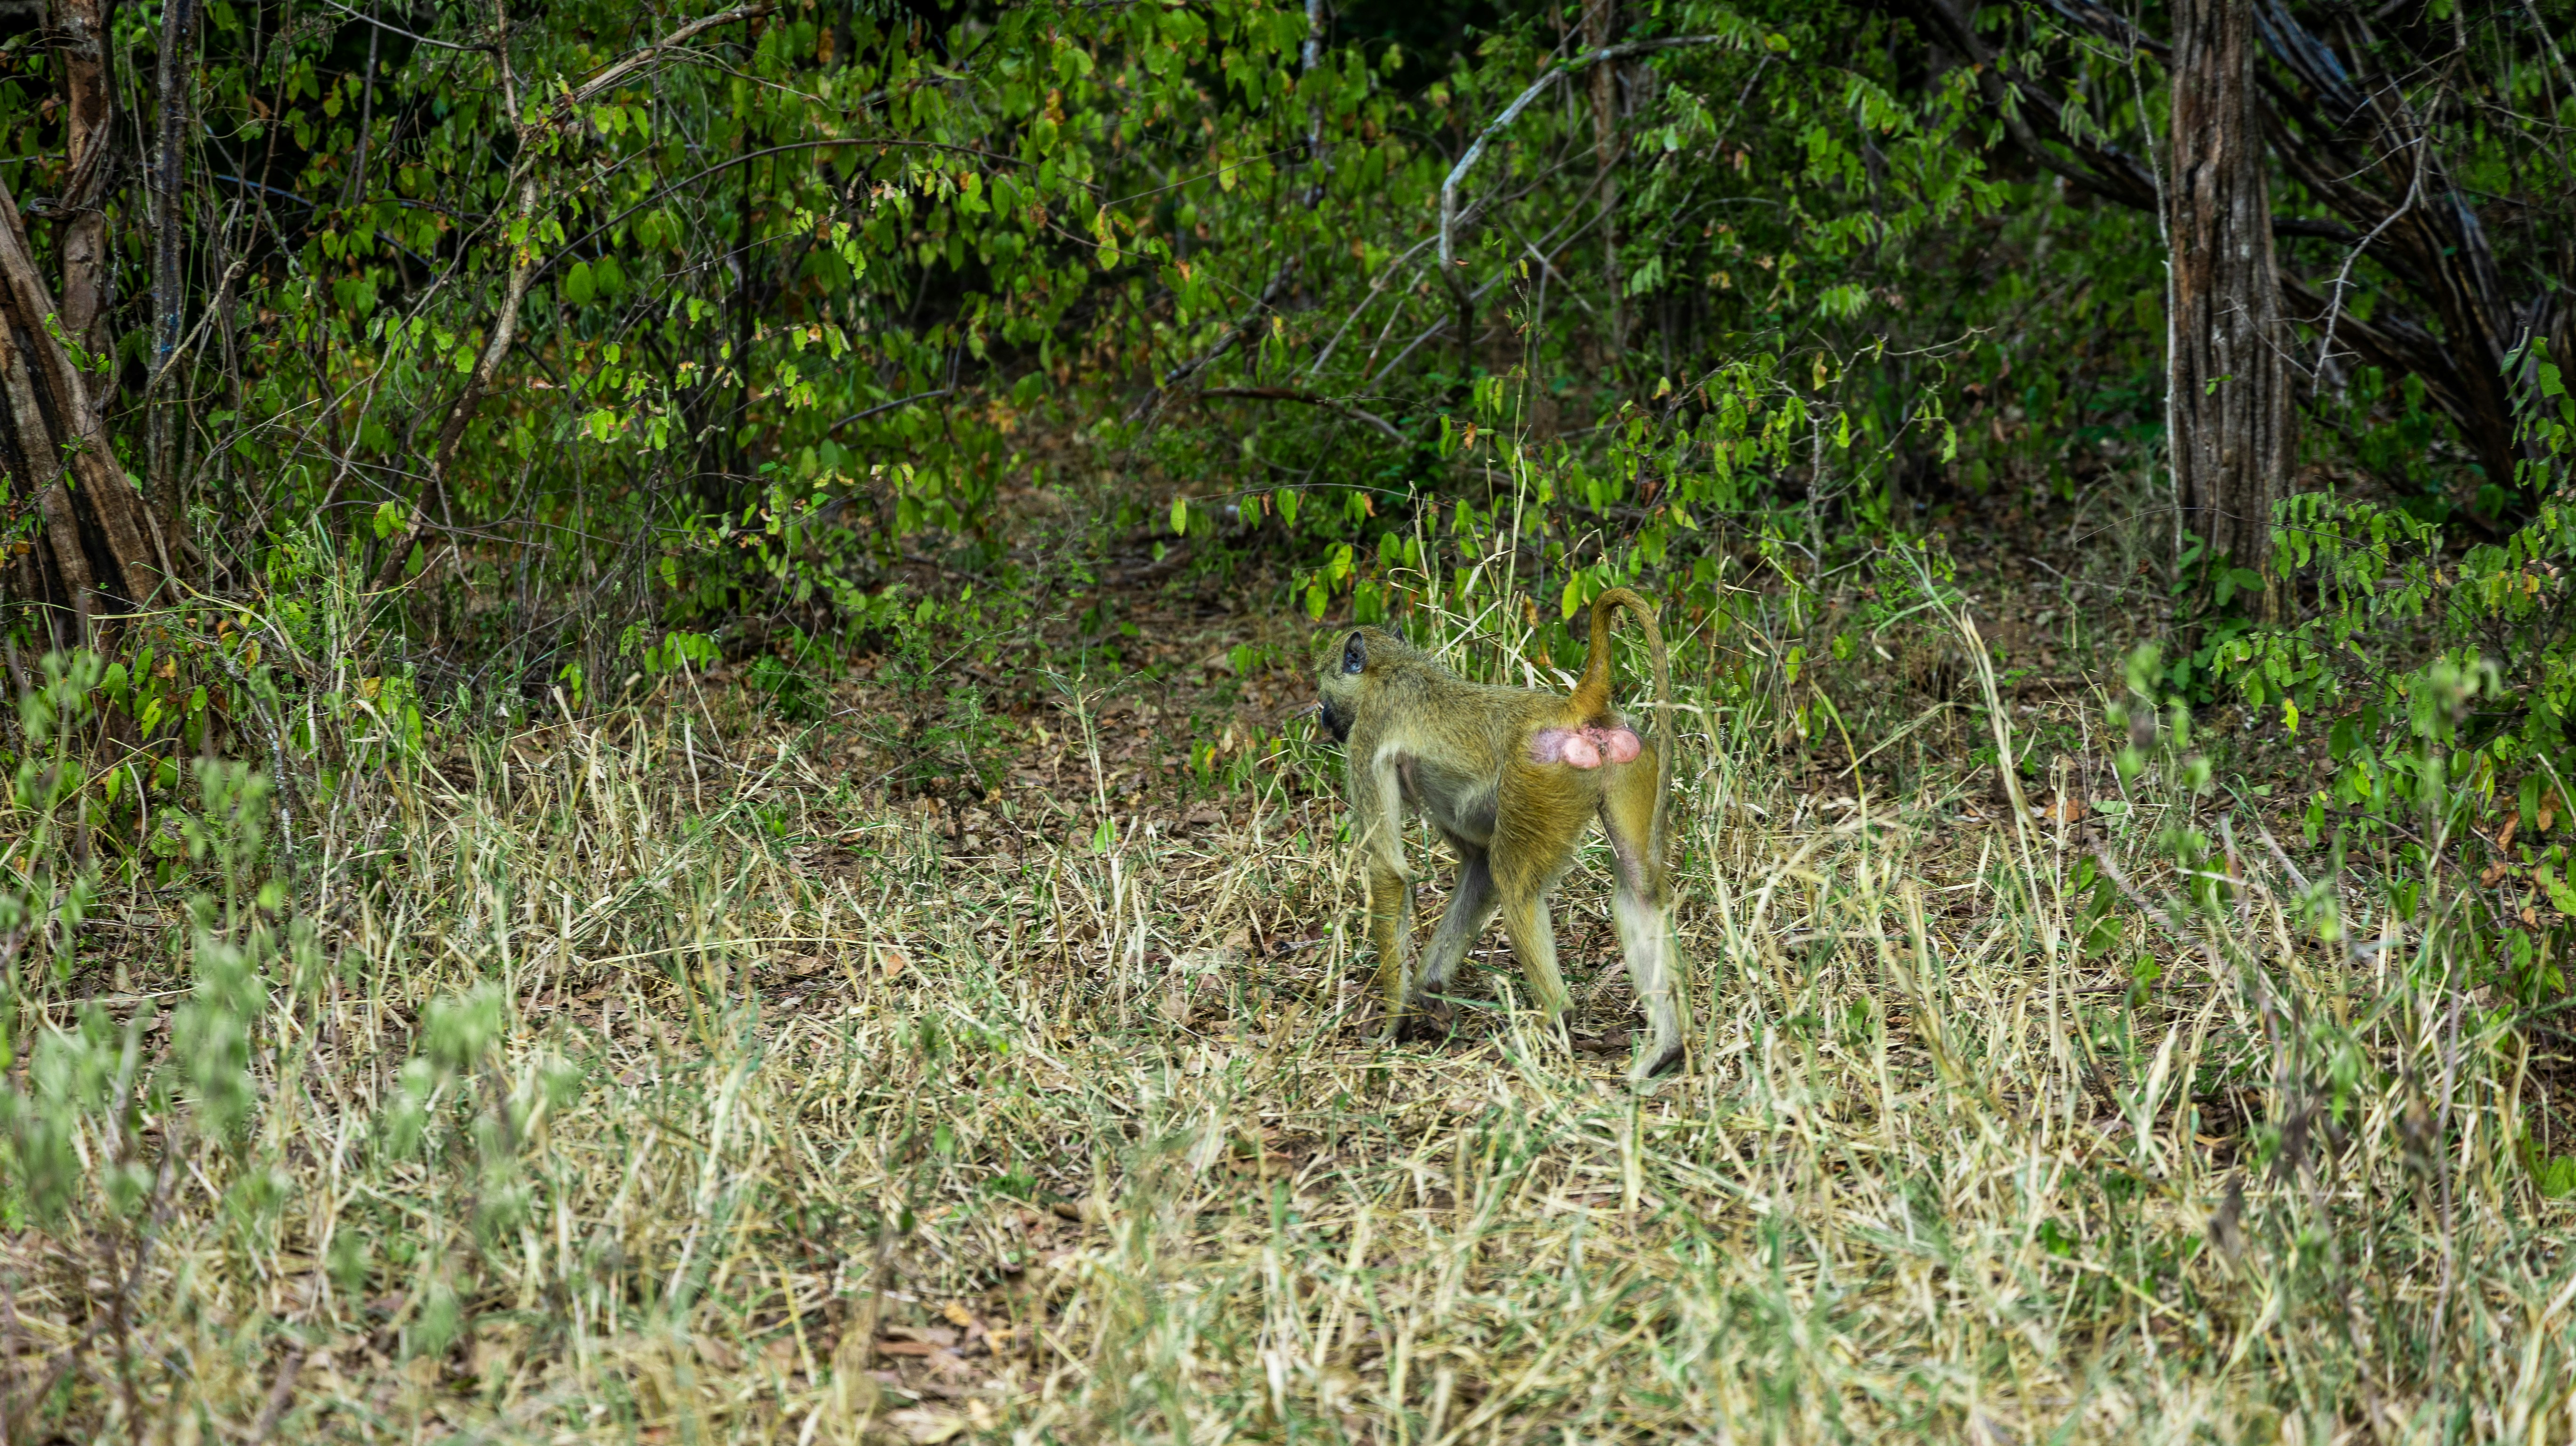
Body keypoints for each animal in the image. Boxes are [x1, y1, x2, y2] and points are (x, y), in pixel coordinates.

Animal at [1312, 587, 1689, 1082]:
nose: (1324, 718)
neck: (1394, 669)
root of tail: (1572, 707)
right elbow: (1477, 863)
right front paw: (1429, 992)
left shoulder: (1370, 733)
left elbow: (1389, 870)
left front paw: (1394, 1025)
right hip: (1631, 760)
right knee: (1638, 892)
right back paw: (1666, 1049)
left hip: (1537, 781)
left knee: (1517, 887)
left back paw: (1555, 1020)